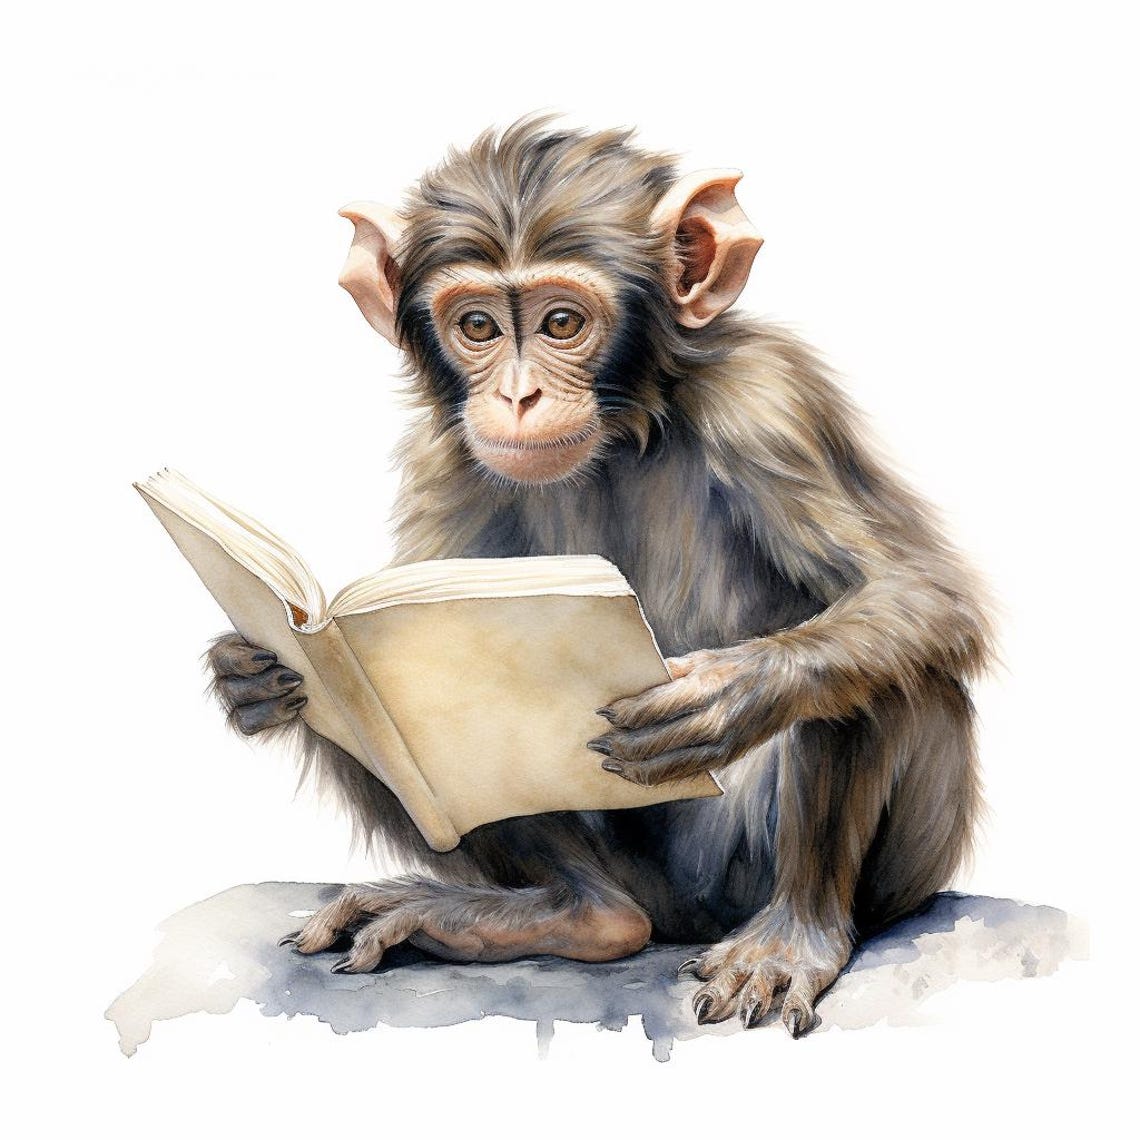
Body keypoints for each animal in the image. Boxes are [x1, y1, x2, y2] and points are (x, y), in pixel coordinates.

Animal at [207, 117, 992, 1037]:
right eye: (478, 326)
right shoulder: (445, 458)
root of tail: (683, 919)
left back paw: (790, 937)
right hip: (638, 881)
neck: (628, 424)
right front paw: (248, 672)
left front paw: (725, 696)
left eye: (560, 321)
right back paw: (560, 914)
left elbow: (912, 593)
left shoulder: (771, 401)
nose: (517, 396)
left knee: (876, 661)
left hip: (853, 875)